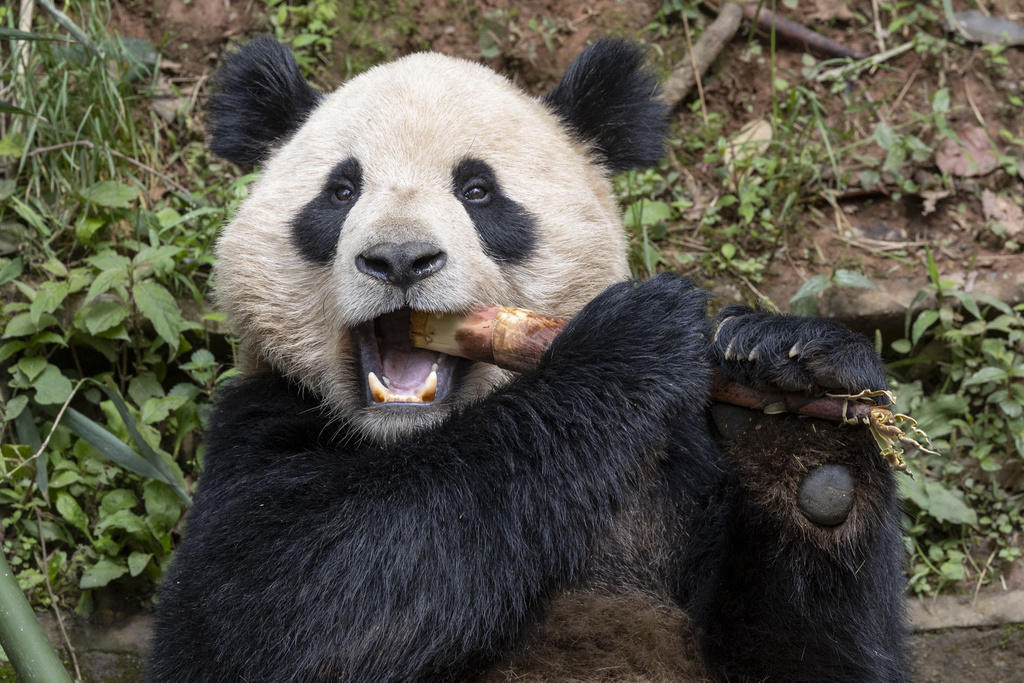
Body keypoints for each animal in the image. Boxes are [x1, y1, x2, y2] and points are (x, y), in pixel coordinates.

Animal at [147, 35, 909, 682]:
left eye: (478, 191)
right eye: (340, 191)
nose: (399, 259)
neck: (411, 440)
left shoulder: (677, 472)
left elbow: (814, 658)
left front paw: (799, 406)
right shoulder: (261, 422)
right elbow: (286, 609)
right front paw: (629, 340)